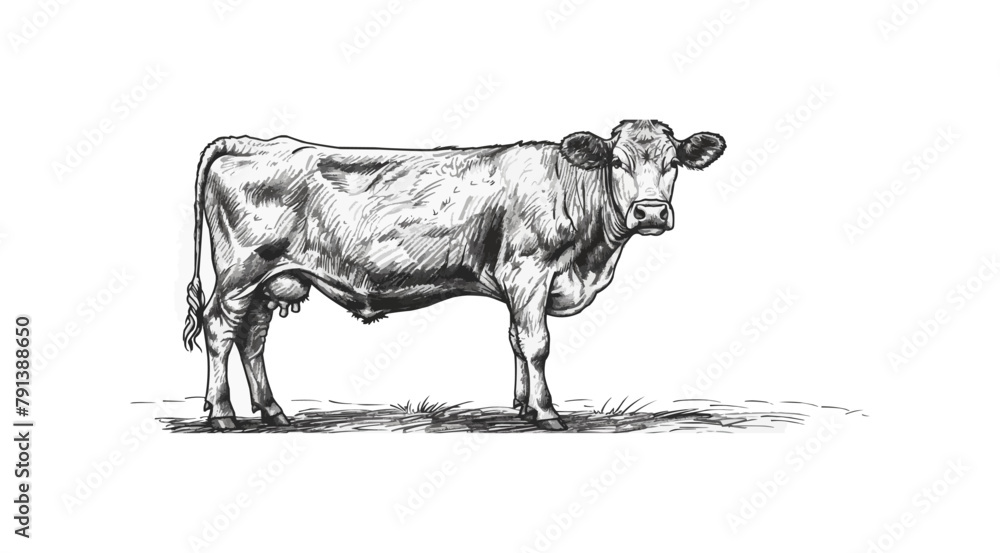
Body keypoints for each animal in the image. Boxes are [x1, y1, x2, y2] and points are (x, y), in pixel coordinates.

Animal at [182, 119, 725, 430]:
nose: (650, 212)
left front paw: (522, 406)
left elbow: (515, 340)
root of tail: (251, 142)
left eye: (673, 162)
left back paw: (272, 410)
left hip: (268, 280)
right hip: (242, 271)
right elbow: (537, 343)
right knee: (219, 329)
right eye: (616, 160)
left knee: (253, 337)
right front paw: (548, 413)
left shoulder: (518, 285)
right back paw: (224, 414)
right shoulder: (528, 272)